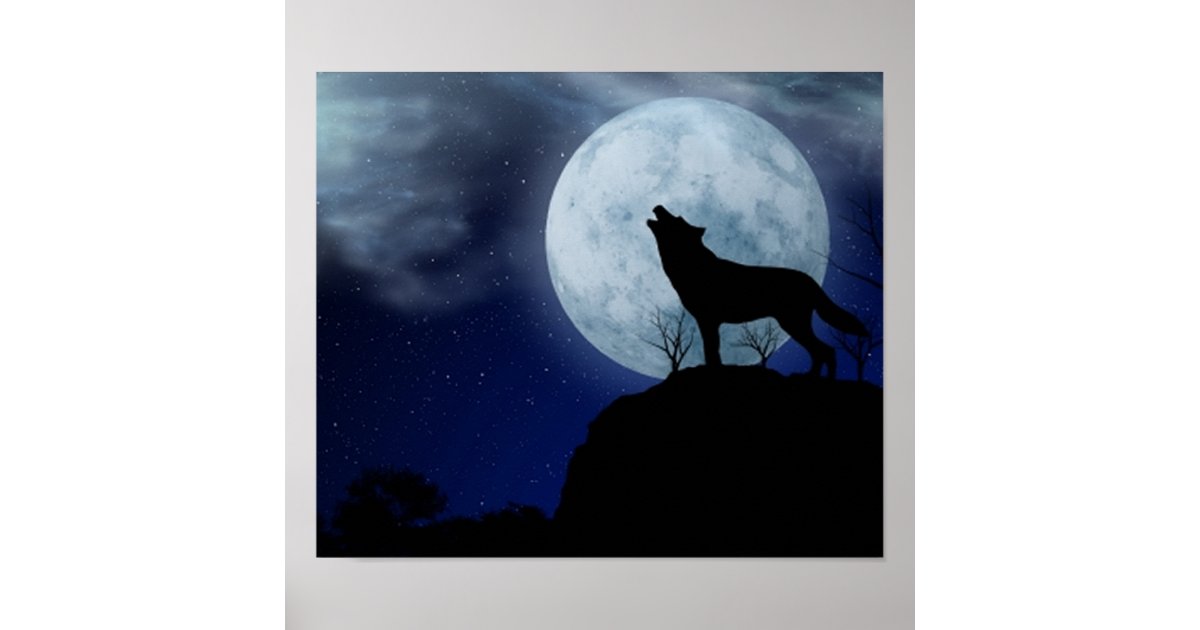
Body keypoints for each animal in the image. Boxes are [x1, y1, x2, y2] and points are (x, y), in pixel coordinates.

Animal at [647, 205, 869, 377]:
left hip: (792, 324)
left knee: (825, 351)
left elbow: (711, 352)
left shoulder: (707, 321)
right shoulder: (709, 322)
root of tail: (810, 279)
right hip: (793, 324)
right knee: (822, 352)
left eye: (676, 219)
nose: (658, 206)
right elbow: (713, 352)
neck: (690, 265)